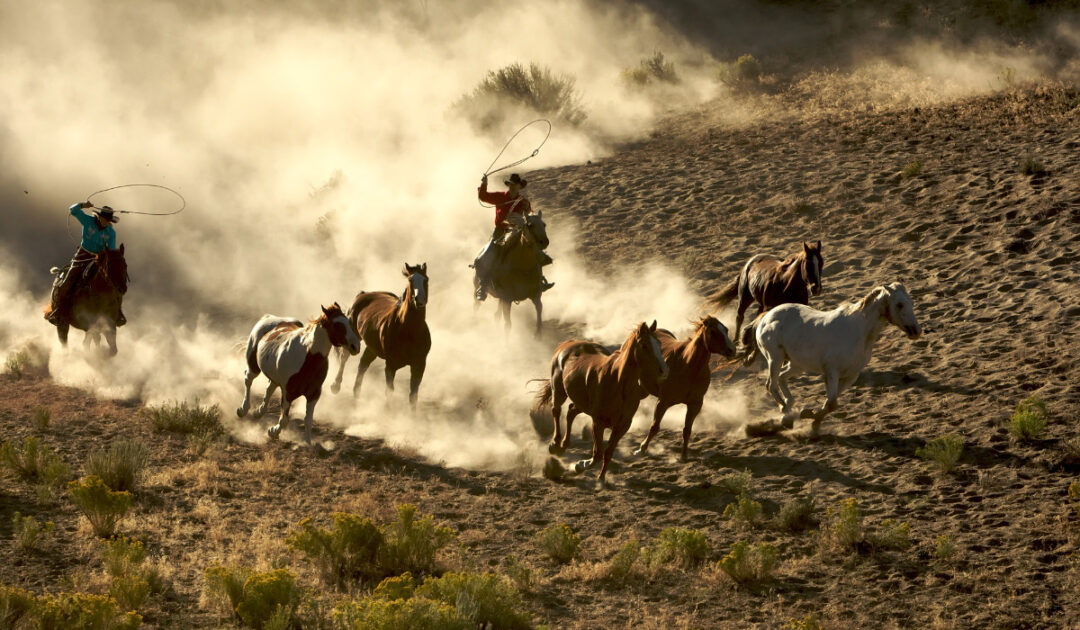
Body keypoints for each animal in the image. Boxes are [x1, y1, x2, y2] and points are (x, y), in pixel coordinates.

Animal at [237, 303, 361, 444]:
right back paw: (243, 409)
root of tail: (269, 318)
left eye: (348, 322)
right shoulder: (287, 393)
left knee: (269, 389)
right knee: (248, 380)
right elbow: (284, 420)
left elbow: (308, 421)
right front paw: (272, 431)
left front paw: (308, 444)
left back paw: (259, 412)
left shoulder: (314, 394)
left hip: (274, 378)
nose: (356, 346)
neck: (307, 358)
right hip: (253, 366)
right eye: (337, 325)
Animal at [330, 263, 431, 405]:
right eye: (410, 280)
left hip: (372, 347)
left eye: (426, 280)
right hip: (353, 336)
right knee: (345, 356)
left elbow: (413, 395)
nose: (419, 300)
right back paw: (336, 385)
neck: (409, 330)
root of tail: (363, 294)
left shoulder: (419, 364)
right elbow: (389, 391)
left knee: (363, 364)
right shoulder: (390, 364)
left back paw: (356, 393)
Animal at [533, 321, 669, 483]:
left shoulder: (623, 425)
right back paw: (555, 444)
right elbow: (597, 453)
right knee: (556, 410)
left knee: (571, 411)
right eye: (644, 345)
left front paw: (601, 478)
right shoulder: (598, 423)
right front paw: (579, 466)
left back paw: (564, 445)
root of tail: (568, 344)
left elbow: (608, 452)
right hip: (559, 390)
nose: (664, 370)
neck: (618, 383)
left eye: (659, 344)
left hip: (582, 403)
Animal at [633, 316, 737, 460]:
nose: (732, 350)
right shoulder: (663, 402)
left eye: (726, 329)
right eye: (712, 332)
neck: (687, 366)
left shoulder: (695, 404)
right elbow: (654, 427)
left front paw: (683, 456)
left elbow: (687, 430)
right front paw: (641, 449)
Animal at [747, 282, 921, 437]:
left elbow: (832, 404)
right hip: (775, 358)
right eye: (899, 304)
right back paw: (785, 412)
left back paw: (788, 411)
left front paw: (812, 419)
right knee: (771, 385)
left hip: (797, 364)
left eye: (912, 303)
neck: (858, 332)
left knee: (782, 378)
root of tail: (766, 317)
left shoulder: (851, 376)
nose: (916, 331)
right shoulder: (831, 372)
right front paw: (810, 417)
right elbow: (831, 402)